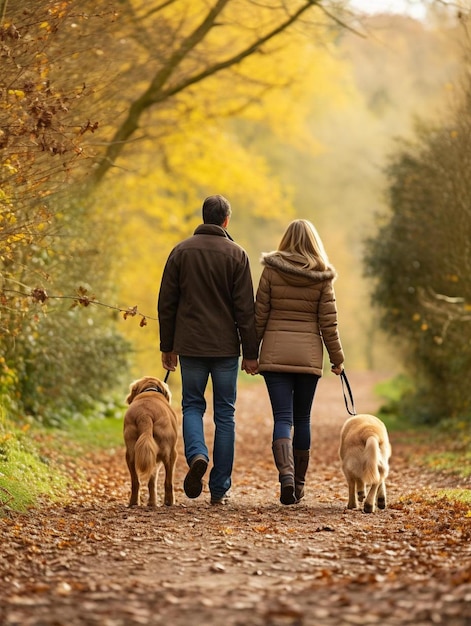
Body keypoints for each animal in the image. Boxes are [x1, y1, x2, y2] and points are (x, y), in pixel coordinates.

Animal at [123, 376, 179, 508]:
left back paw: (133, 502)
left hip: (130, 454)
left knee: (135, 482)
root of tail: (145, 415)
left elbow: (151, 481)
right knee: (168, 482)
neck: (150, 389)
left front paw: (152, 502)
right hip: (170, 454)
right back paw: (169, 502)